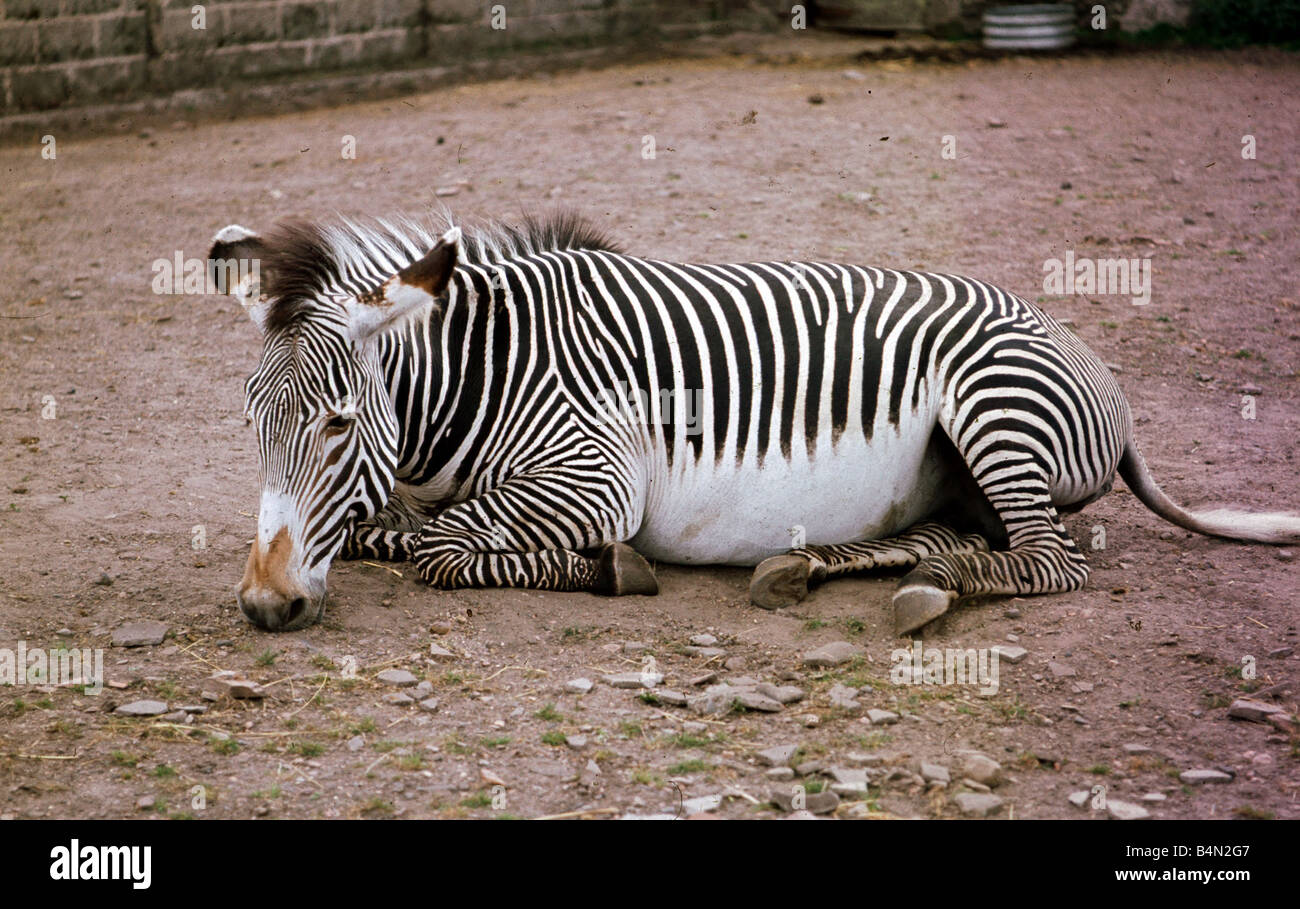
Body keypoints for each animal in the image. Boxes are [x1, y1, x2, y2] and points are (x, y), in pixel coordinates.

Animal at [208, 211, 1300, 632]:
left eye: (338, 424)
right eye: (253, 423)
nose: (264, 606)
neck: (490, 370)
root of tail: (1085, 354)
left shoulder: (593, 476)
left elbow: (439, 545)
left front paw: (610, 567)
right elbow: (393, 529)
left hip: (992, 406)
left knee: (1045, 561)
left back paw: (936, 587)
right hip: (955, 471)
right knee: (946, 532)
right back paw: (811, 565)